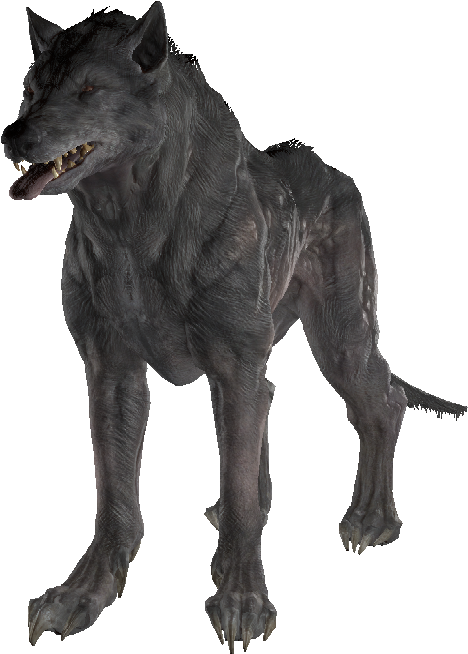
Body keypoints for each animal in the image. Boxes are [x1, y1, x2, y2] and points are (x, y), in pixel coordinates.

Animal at [3, 2, 466, 650]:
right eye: (29, 91)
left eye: (89, 90)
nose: (14, 136)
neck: (131, 224)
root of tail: (333, 169)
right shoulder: (112, 371)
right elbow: (114, 494)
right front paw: (82, 594)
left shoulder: (232, 364)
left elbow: (242, 487)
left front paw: (243, 601)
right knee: (276, 406)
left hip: (342, 339)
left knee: (383, 401)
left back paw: (370, 519)